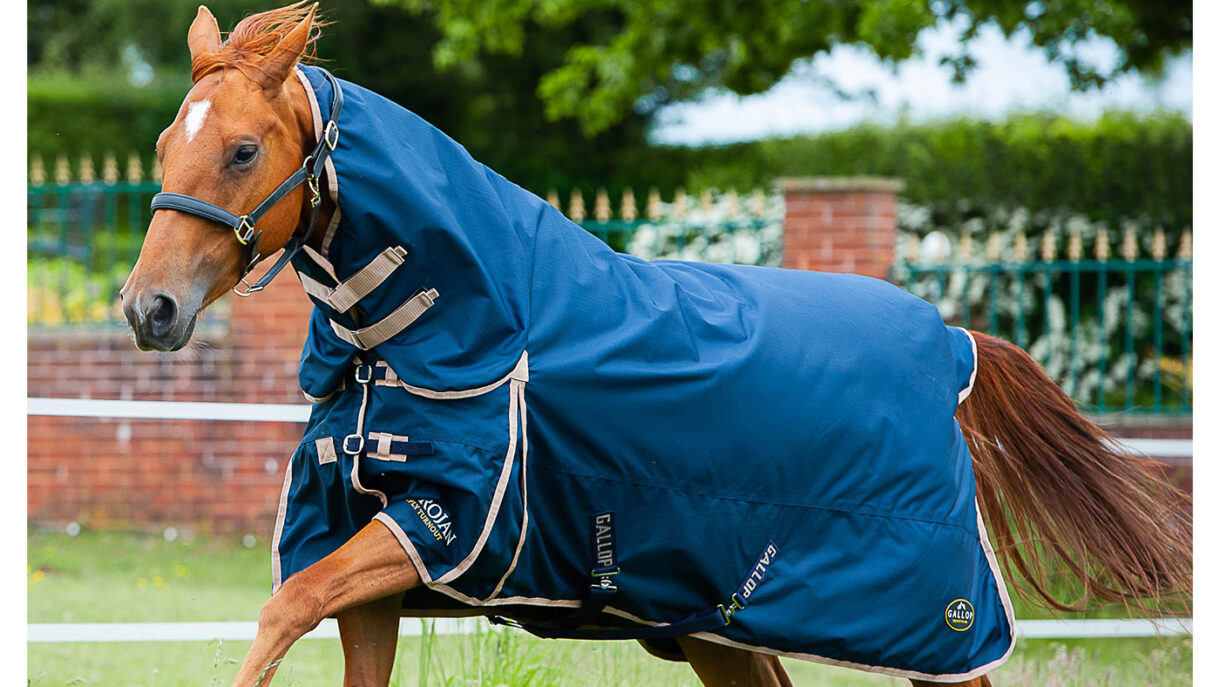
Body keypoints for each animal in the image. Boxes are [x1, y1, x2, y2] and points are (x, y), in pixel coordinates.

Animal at [120, 4, 1191, 686]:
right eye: (168, 145)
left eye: (243, 150)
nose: (146, 308)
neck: (436, 331)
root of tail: (952, 342)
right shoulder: (374, 563)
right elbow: (305, 615)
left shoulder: (442, 526)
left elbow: (279, 610)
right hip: (721, 633)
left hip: (937, 632)